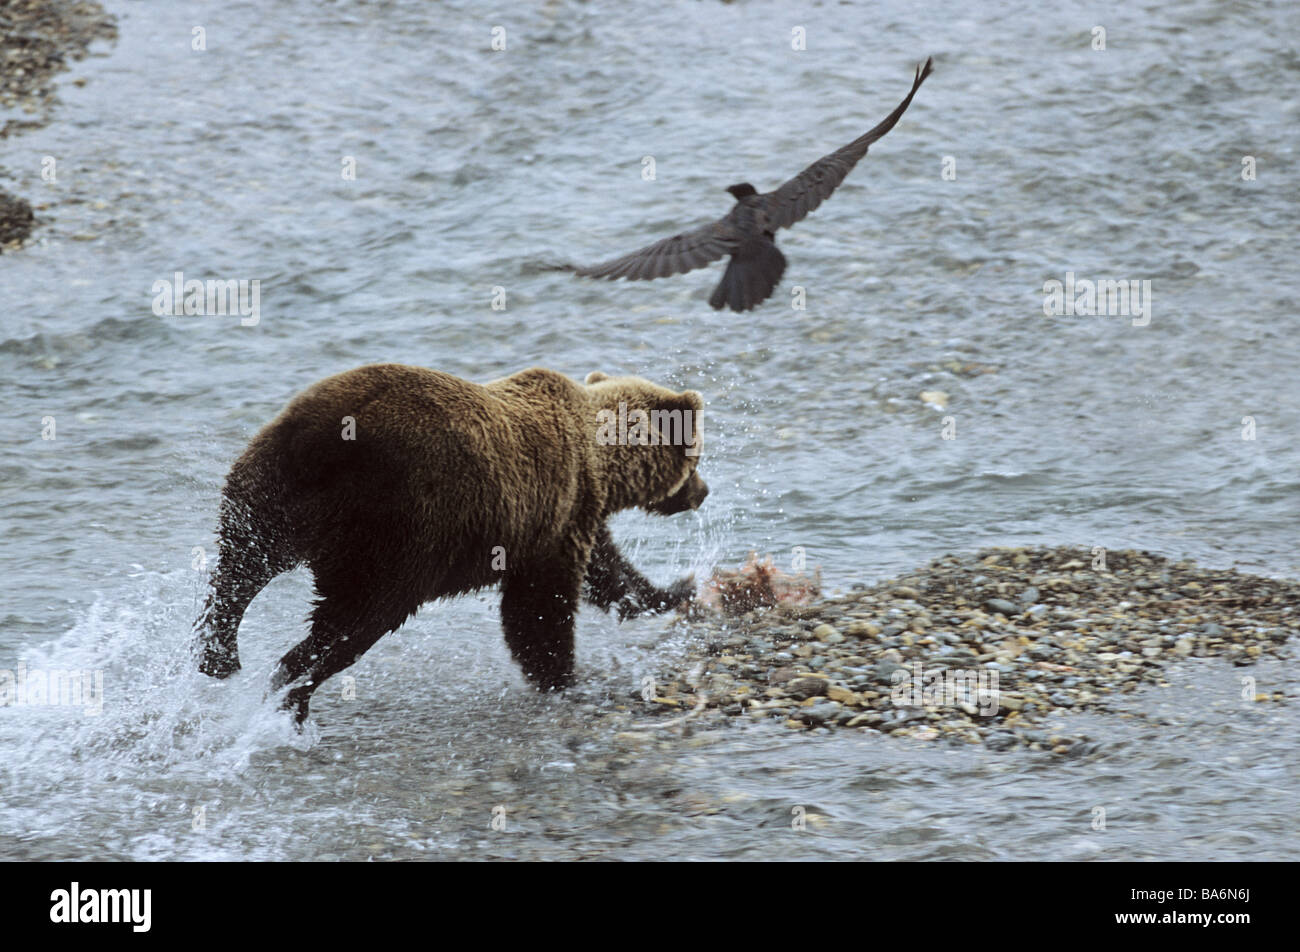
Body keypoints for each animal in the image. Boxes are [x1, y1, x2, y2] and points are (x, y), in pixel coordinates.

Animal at [192, 363, 707, 722]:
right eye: (696, 456)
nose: (702, 491)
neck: (602, 458)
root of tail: (320, 442)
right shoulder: (559, 508)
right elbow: (540, 608)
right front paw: (561, 676)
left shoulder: (568, 518)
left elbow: (609, 574)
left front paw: (677, 588)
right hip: (398, 525)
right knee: (359, 617)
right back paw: (290, 691)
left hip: (267, 485)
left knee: (239, 568)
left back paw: (218, 655)